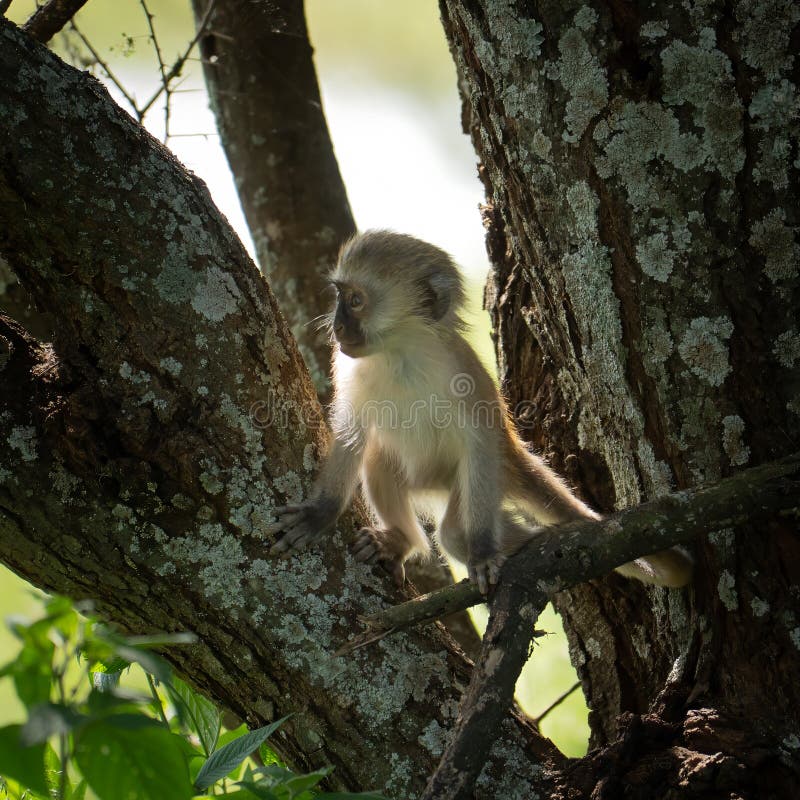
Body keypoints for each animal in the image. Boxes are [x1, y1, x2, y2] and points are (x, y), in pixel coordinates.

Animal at [270, 230, 693, 593]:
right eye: (338, 296)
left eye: (355, 301)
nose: (337, 325)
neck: (400, 353)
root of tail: (513, 454)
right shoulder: (349, 366)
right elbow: (351, 435)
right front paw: (321, 513)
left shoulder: (461, 372)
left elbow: (480, 440)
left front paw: (485, 550)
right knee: (377, 459)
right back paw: (400, 541)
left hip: (474, 482)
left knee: (456, 530)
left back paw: (534, 541)